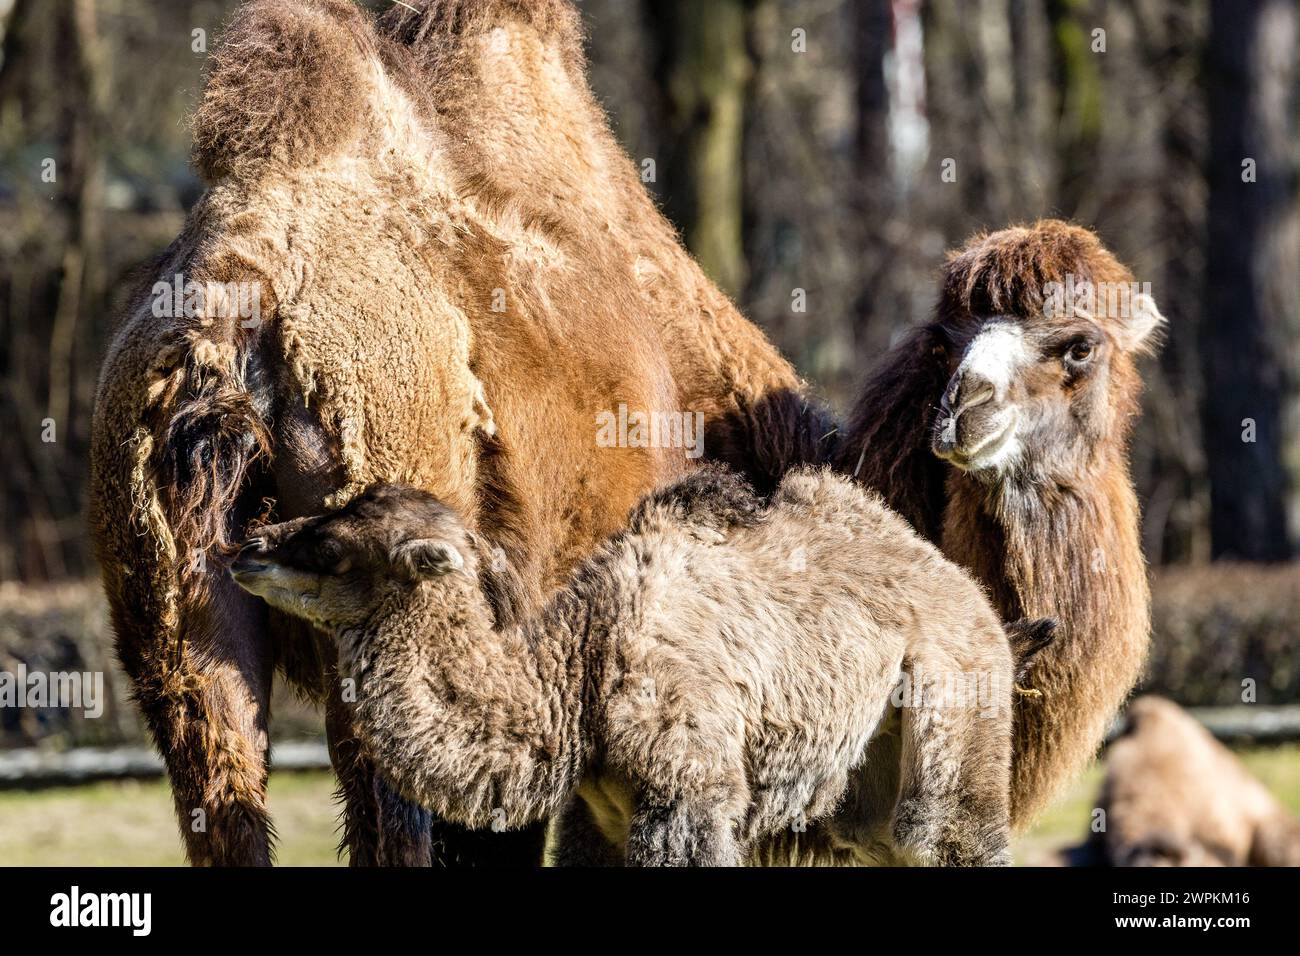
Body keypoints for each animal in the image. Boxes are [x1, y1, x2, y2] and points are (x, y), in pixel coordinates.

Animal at [230, 469, 1056, 866]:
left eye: (332, 546)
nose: (248, 545)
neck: (578, 676)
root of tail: (987, 613)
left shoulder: (688, 796)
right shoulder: (598, 811)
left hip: (955, 718)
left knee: (947, 836)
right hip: (866, 793)